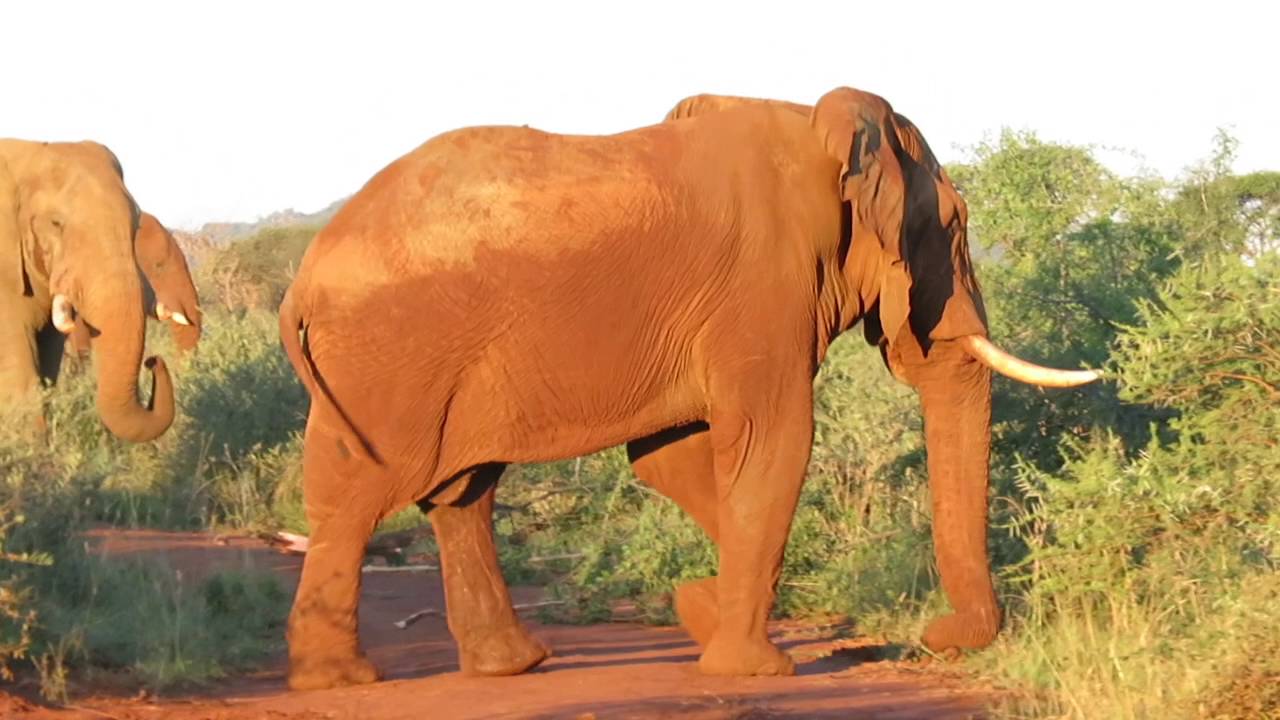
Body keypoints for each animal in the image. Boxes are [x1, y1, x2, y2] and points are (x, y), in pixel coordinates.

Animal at [277, 85, 1098, 690]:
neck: (823, 129)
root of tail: (302, 284)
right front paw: (755, 667)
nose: (935, 636)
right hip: (389, 361)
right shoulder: (764, 283)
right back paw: (341, 681)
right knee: (359, 496)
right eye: (955, 224)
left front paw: (698, 607)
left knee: (461, 495)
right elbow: (774, 441)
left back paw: (512, 664)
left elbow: (670, 459)